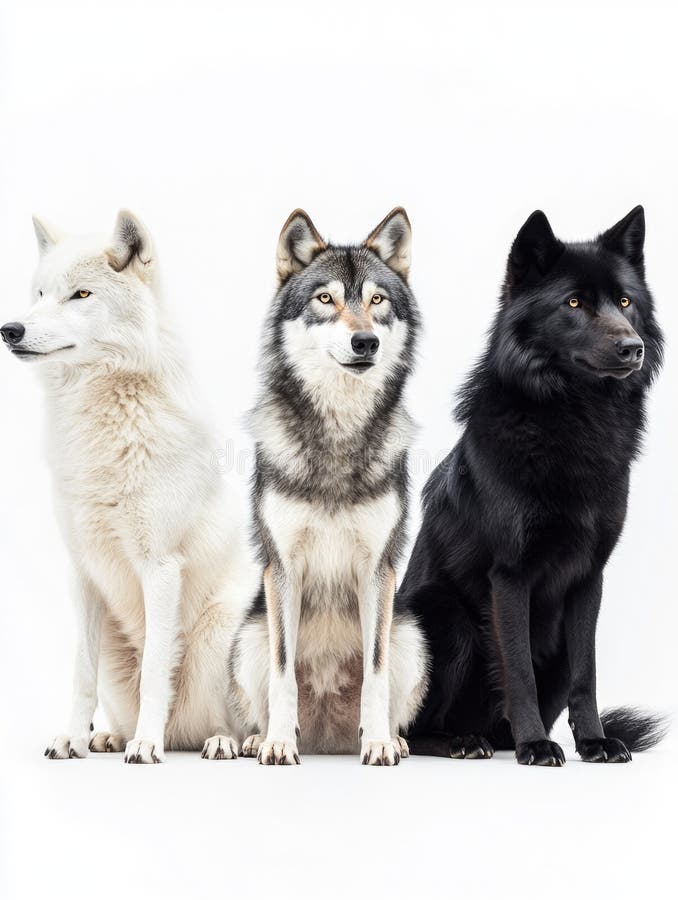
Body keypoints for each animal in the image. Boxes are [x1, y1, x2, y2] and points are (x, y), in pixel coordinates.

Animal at [1, 211, 259, 762]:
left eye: (80, 294)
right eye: (40, 294)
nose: (10, 330)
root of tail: (185, 734)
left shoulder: (159, 568)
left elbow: (156, 675)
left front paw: (145, 744)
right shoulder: (82, 571)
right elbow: (80, 674)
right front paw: (72, 738)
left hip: (220, 630)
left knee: (232, 717)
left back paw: (225, 742)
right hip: (116, 649)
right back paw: (108, 736)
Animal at [230, 208, 428, 765]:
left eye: (377, 301)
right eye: (325, 299)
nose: (366, 342)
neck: (338, 433)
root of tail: (327, 740)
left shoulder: (377, 572)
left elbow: (375, 676)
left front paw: (378, 743)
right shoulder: (282, 569)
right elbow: (283, 676)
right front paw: (278, 745)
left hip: (411, 634)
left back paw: (392, 739)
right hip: (249, 634)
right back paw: (253, 740)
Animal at [397, 206, 666, 765]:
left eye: (625, 302)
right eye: (574, 303)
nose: (633, 347)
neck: (577, 418)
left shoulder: (589, 580)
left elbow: (587, 672)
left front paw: (593, 742)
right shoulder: (509, 576)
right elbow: (517, 668)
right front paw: (536, 746)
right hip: (447, 621)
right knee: (409, 729)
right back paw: (465, 742)